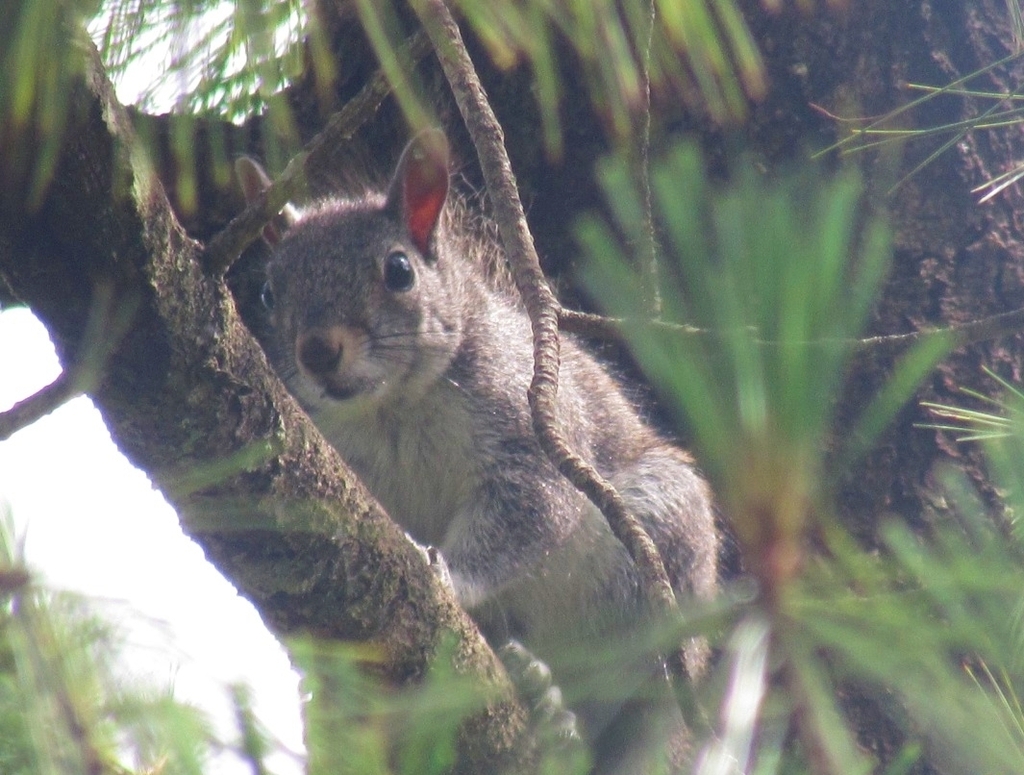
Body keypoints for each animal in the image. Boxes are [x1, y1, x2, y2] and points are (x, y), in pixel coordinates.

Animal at [237, 130, 719, 772]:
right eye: (269, 291)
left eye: (399, 270)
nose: (316, 351)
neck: (394, 407)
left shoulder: (528, 433)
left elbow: (529, 510)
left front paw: (447, 572)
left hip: (659, 551)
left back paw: (558, 712)